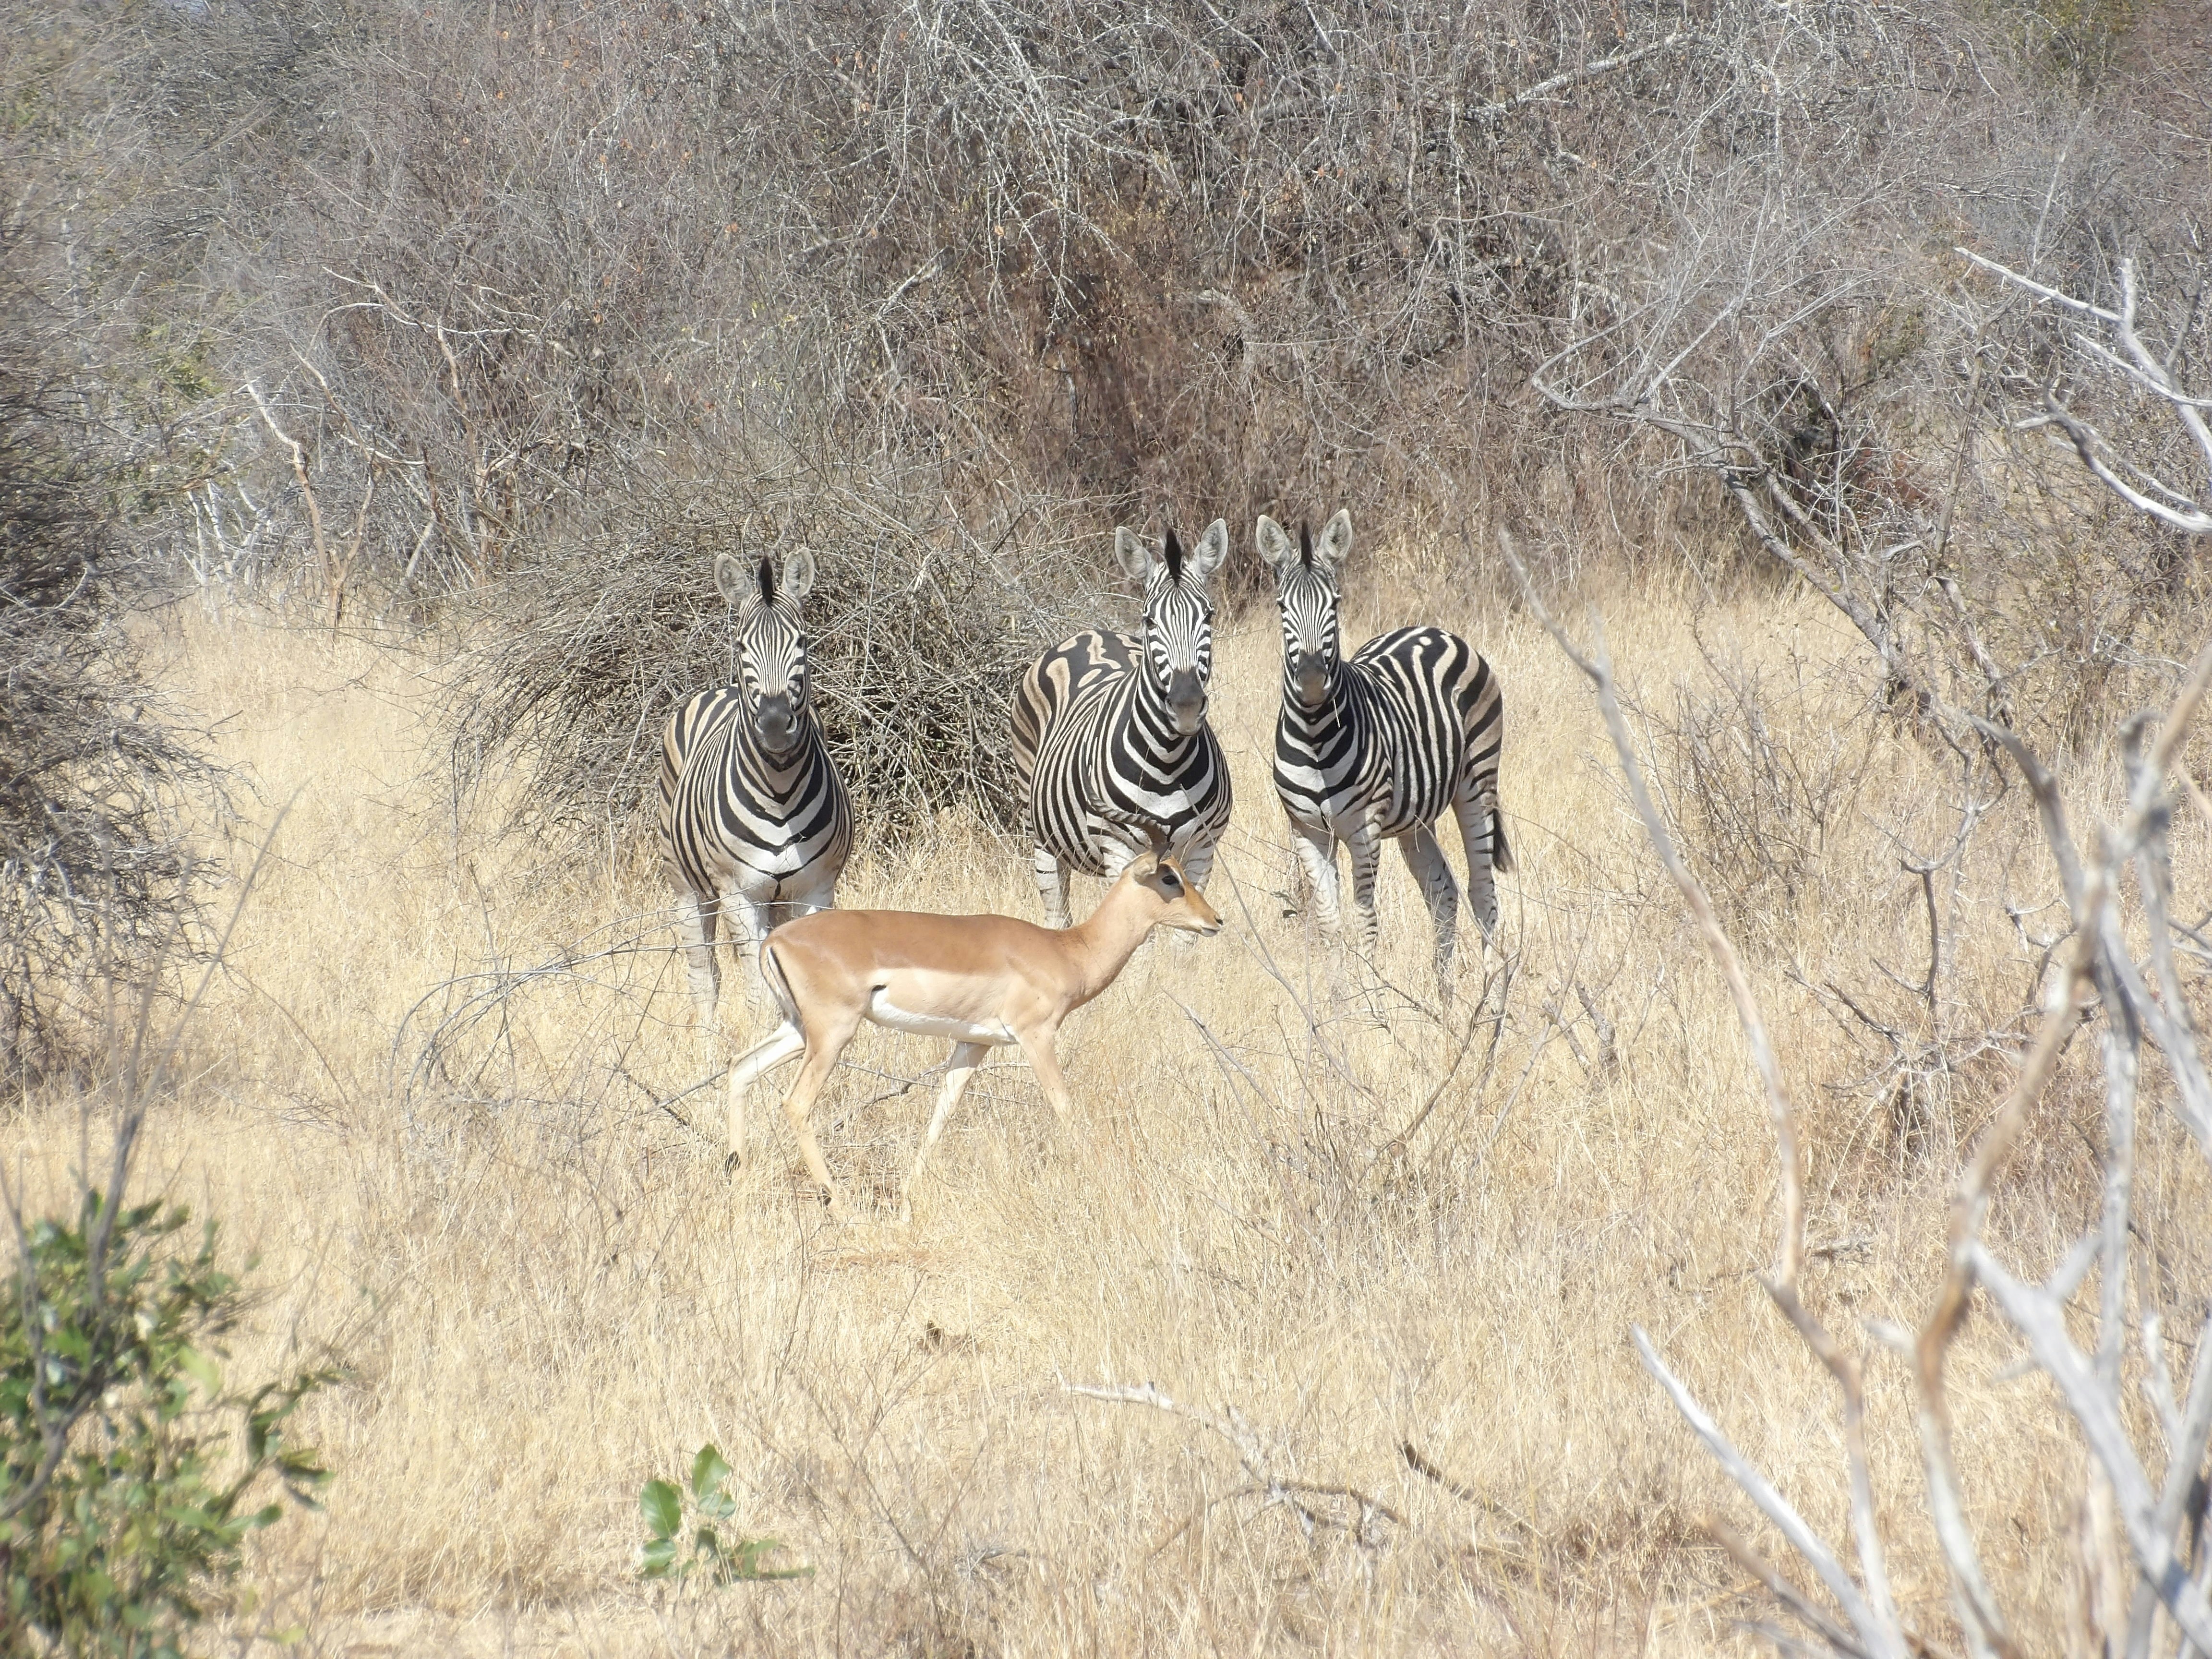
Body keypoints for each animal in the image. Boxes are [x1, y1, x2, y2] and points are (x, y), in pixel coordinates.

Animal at [660, 547, 853, 1085]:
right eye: (741, 644)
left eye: (802, 642)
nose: (773, 723)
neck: (780, 788)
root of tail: (720, 690)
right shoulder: (738, 893)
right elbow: (756, 995)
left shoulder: (815, 891)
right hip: (689, 889)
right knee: (704, 975)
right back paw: (706, 1056)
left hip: (779, 902)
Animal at [724, 837, 1222, 1219]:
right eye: (1169, 878)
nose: (1215, 920)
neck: (1069, 949)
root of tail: (776, 940)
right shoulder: (1036, 1036)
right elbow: (1063, 1105)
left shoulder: (972, 1045)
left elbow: (941, 1114)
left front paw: (908, 1199)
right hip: (832, 1035)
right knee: (795, 1103)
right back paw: (841, 1205)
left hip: (798, 1031)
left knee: (740, 1067)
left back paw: (739, 1181)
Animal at [1011, 519, 1234, 928]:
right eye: (1149, 620)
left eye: (1209, 616)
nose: (1187, 707)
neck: (1168, 761)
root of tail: (1090, 633)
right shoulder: (1119, 849)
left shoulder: (1202, 850)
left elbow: (1184, 937)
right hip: (1038, 830)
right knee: (1057, 910)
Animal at [1258, 509, 1511, 998]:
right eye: (1282, 607)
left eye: (1335, 604)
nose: (1313, 676)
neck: (1315, 733)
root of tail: (1432, 630)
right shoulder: (1306, 831)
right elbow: (1329, 922)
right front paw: (1338, 1001)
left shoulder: (1364, 828)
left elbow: (1365, 918)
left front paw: (1371, 1000)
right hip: (1415, 818)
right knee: (1443, 891)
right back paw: (1444, 997)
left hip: (1478, 784)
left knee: (1482, 890)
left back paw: (1492, 996)